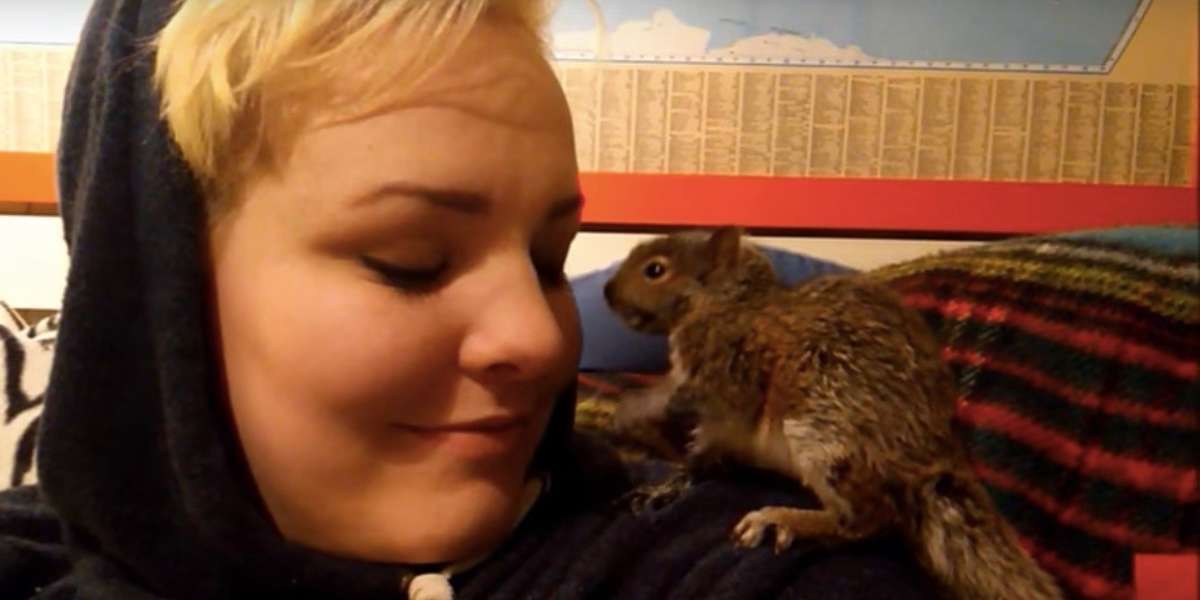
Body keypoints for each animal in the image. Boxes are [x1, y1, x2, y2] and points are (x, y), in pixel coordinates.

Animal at [602, 227, 1064, 600]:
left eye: (655, 270)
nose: (606, 292)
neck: (724, 302)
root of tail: (930, 457)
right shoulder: (718, 431)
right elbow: (697, 460)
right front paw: (662, 482)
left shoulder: (725, 371)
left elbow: (685, 403)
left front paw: (632, 410)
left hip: (821, 432)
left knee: (868, 521)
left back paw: (784, 518)